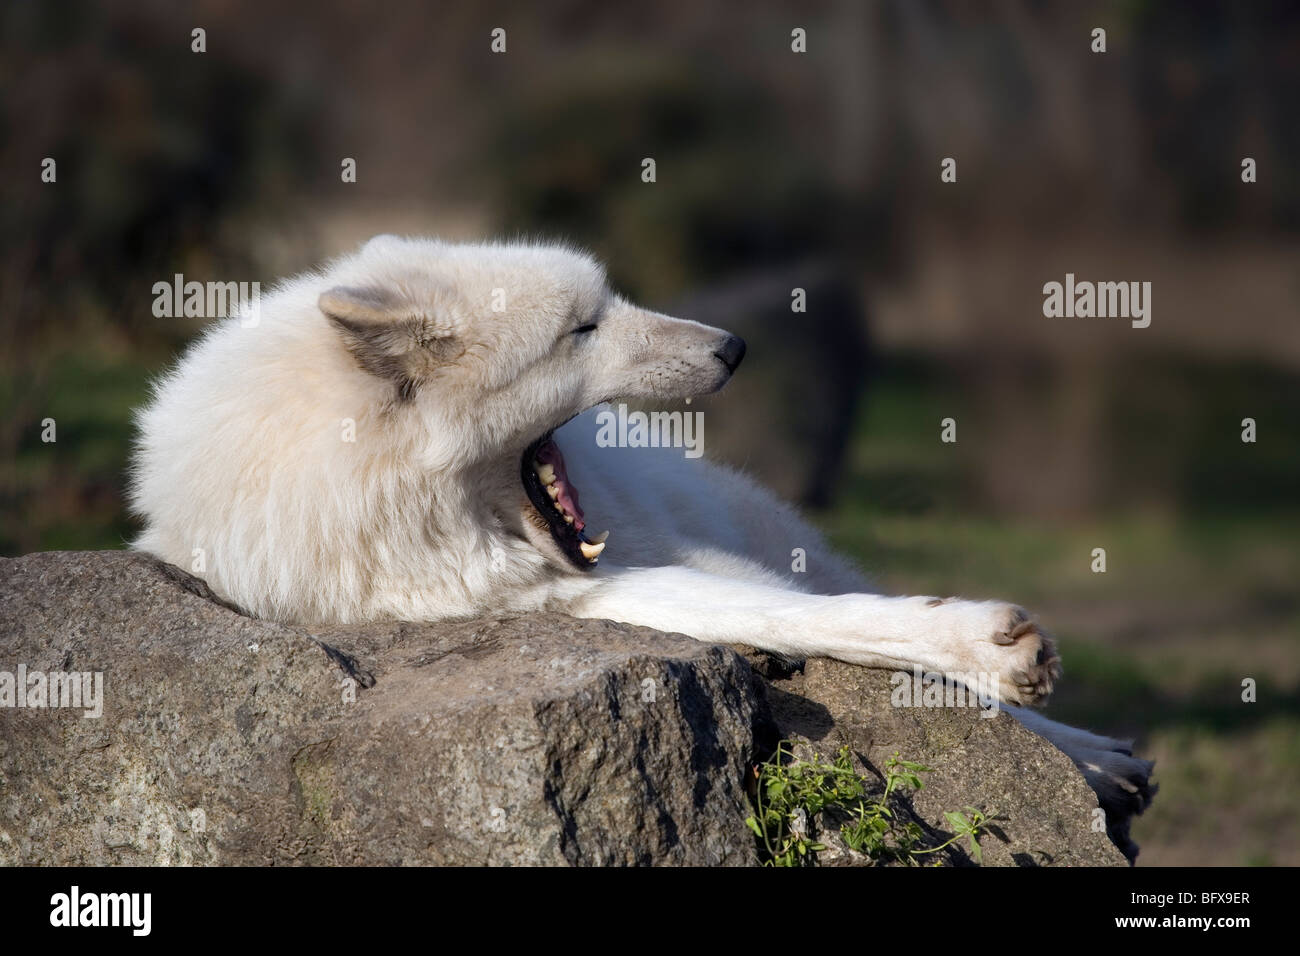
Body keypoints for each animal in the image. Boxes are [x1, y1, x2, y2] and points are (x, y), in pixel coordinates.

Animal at [129, 234, 1154, 859]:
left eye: (608, 303)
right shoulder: (558, 597)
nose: (735, 346)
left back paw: (1103, 760)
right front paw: (996, 656)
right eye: (582, 329)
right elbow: (805, 622)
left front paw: (1013, 675)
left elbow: (837, 619)